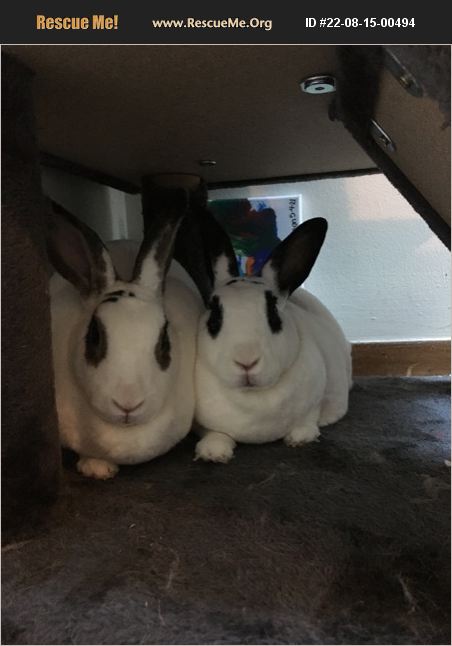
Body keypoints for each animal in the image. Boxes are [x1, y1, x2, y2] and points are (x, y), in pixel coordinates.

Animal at [193, 215, 352, 463]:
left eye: (274, 315)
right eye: (214, 317)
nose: (246, 361)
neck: (253, 398)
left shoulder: (314, 403)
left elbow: (307, 420)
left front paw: (299, 438)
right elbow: (215, 432)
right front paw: (213, 453)